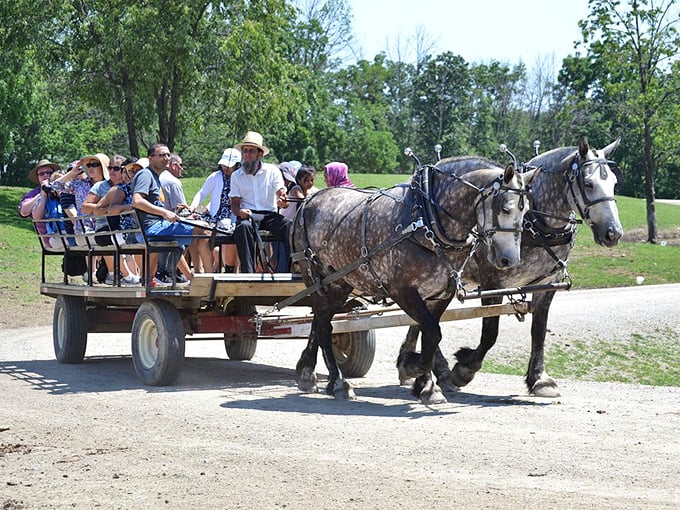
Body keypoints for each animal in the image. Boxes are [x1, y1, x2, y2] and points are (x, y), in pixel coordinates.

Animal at [291, 160, 534, 404]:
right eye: (505, 208)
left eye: (526, 211)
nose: (510, 260)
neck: (425, 221)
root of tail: (310, 200)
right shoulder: (402, 291)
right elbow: (432, 332)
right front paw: (412, 367)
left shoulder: (439, 295)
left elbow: (429, 333)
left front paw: (426, 385)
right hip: (315, 279)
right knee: (323, 326)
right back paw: (337, 381)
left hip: (339, 282)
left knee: (320, 322)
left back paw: (310, 373)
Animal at [398, 138, 624, 397]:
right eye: (588, 184)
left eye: (614, 184)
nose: (614, 233)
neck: (533, 222)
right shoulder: (493, 283)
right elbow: (490, 333)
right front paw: (464, 369)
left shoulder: (547, 285)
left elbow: (539, 330)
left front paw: (540, 378)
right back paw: (429, 376)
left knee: (421, 321)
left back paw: (416, 367)